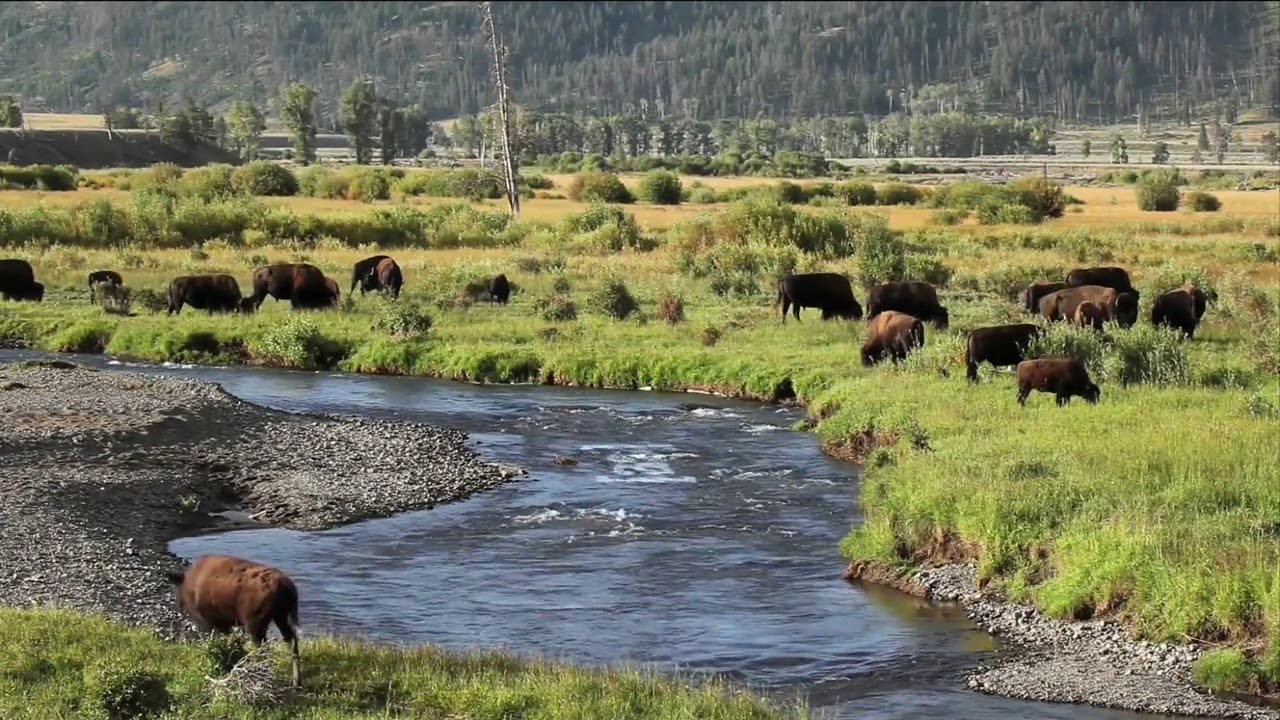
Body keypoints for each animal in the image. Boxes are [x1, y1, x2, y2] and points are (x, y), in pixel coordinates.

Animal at [166, 555, 301, 687]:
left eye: (177, 590)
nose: (179, 607)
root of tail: (286, 584)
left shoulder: (213, 622)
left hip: (256, 625)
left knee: (263, 647)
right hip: (280, 617)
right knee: (291, 641)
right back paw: (296, 682)